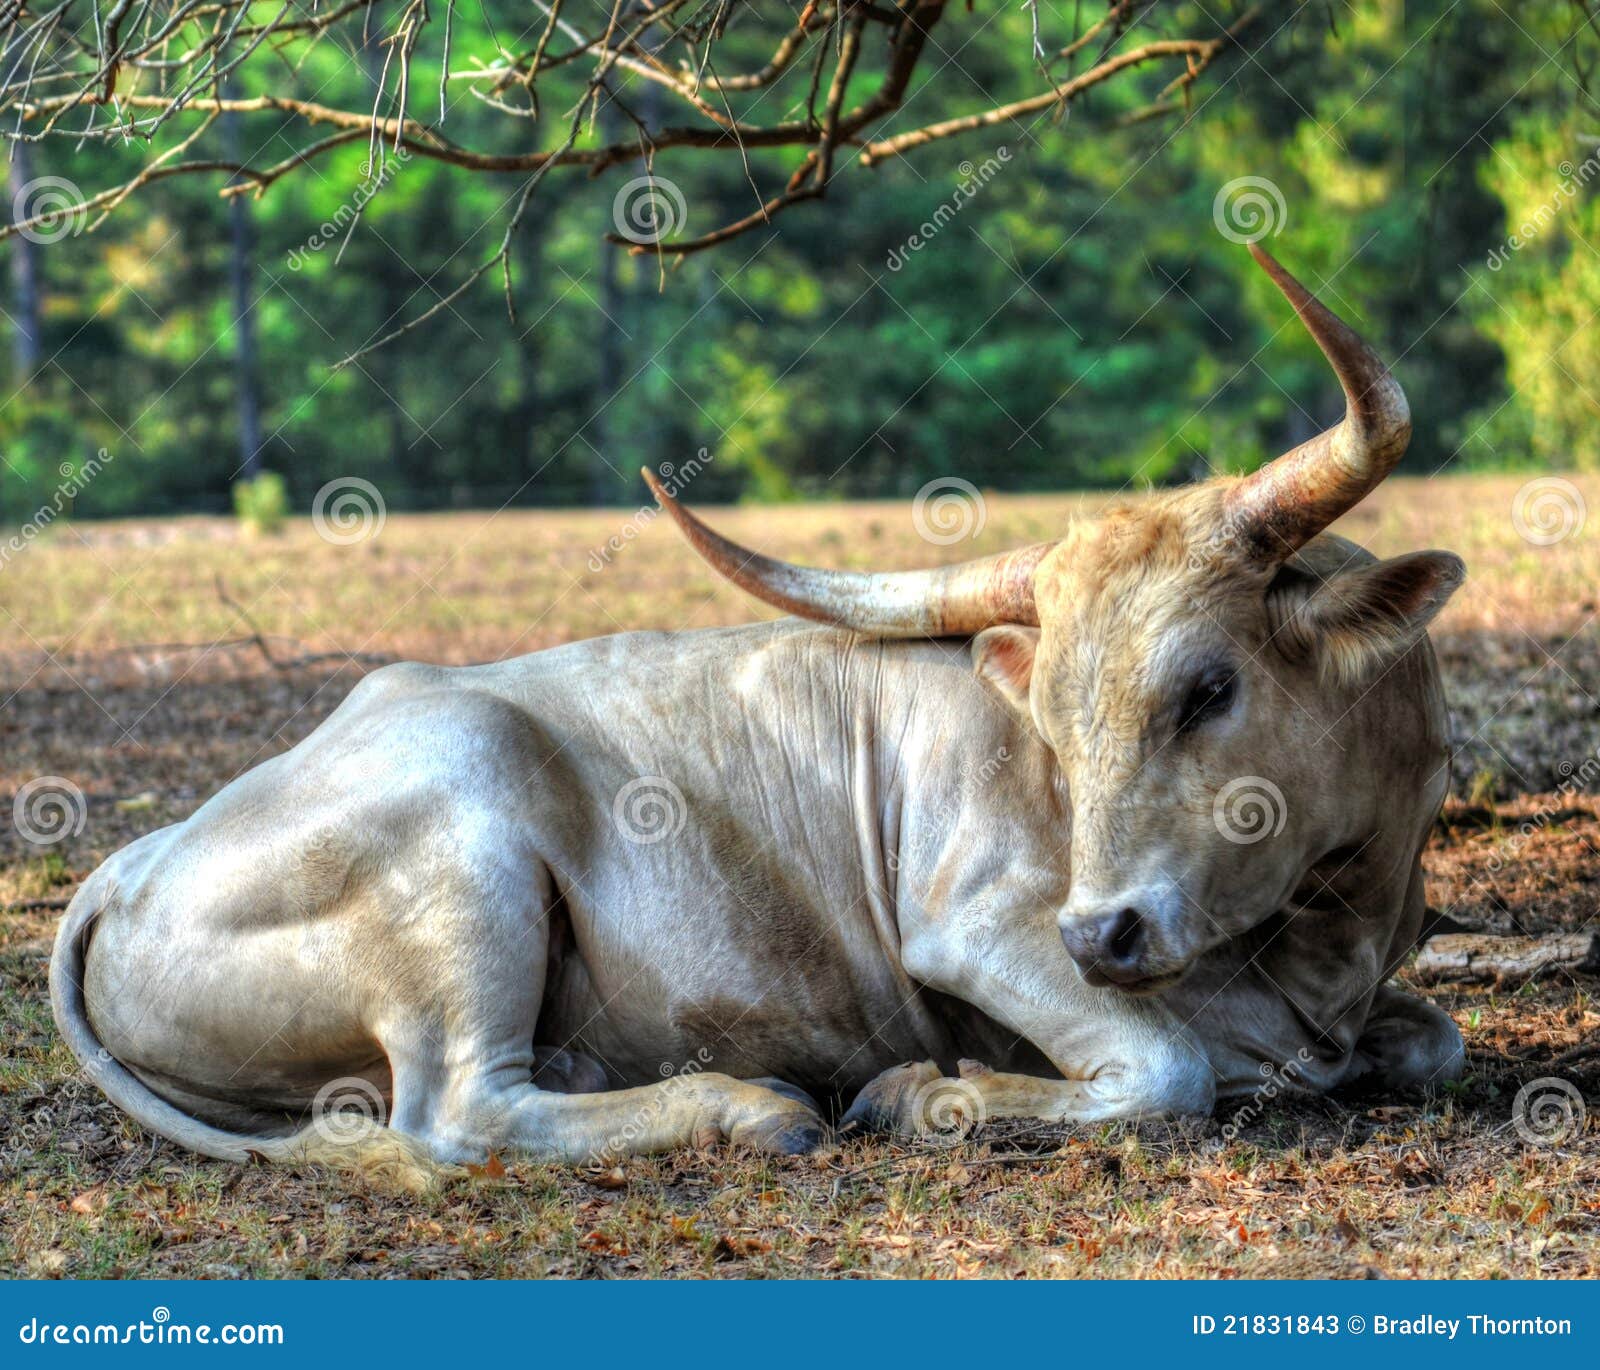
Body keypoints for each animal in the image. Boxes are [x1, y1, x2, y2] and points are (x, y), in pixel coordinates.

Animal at [50, 244, 1466, 1182]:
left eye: (1210, 685)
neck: (1324, 936)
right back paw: (748, 1105)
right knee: (458, 1112)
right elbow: (1168, 1069)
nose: (1100, 931)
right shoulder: (978, 923)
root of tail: (133, 859)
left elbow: (1434, 1036)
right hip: (462, 855)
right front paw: (919, 1093)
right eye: (1056, 727)